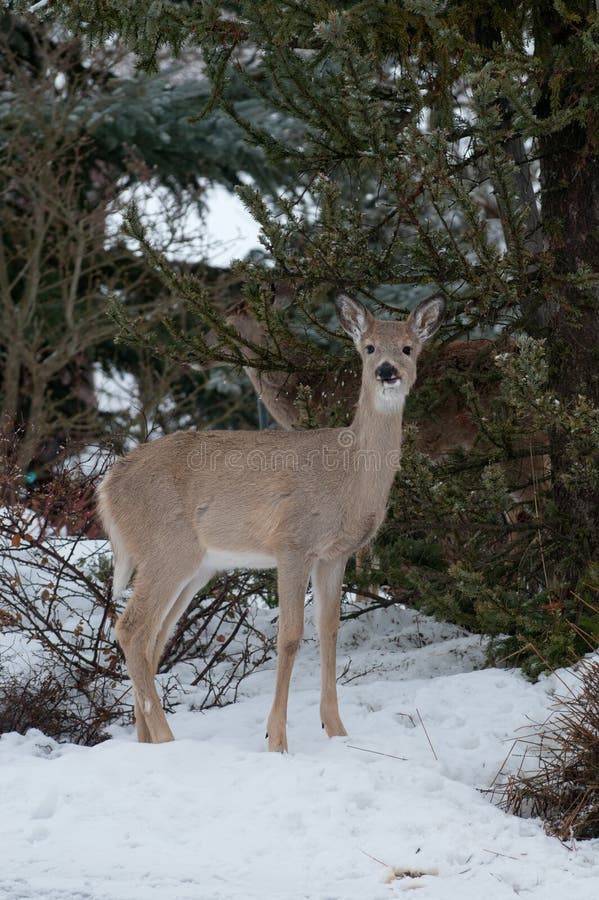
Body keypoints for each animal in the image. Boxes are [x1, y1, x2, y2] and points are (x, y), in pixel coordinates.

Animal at [97, 294, 445, 751]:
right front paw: (276, 739)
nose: (387, 371)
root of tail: (107, 486)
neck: (349, 472)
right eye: (369, 347)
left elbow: (329, 630)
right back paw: (168, 739)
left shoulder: (335, 554)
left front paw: (337, 730)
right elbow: (291, 636)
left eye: (408, 347)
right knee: (131, 629)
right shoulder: (293, 542)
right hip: (166, 550)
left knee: (152, 641)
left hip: (195, 566)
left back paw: (146, 742)